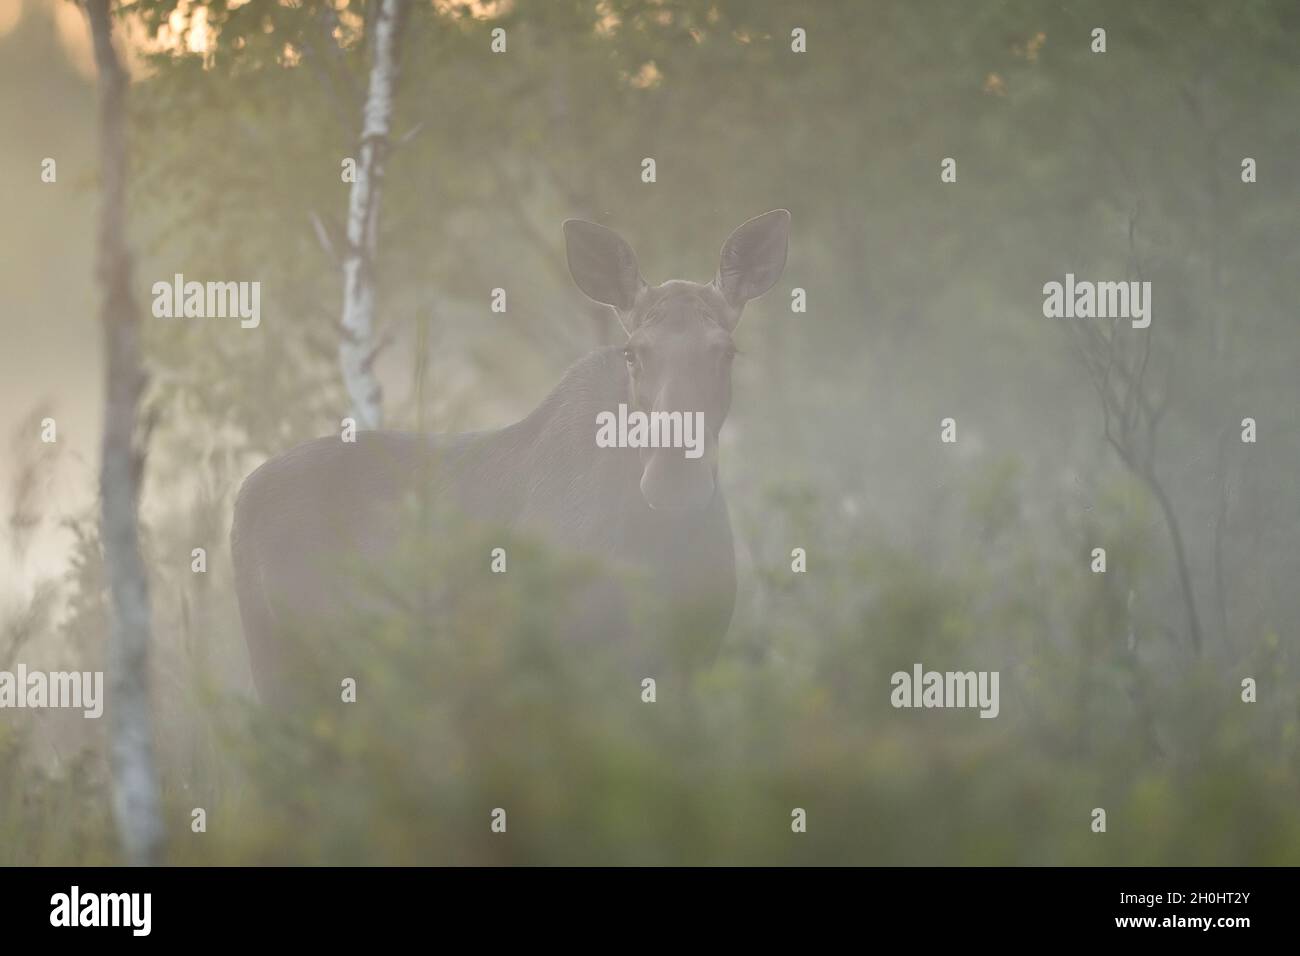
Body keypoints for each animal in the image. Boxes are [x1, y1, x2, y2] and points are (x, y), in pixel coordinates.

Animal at [231, 210, 790, 703]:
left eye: (727, 351)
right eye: (633, 352)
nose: (675, 478)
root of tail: (241, 497)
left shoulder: (690, 659)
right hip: (280, 667)